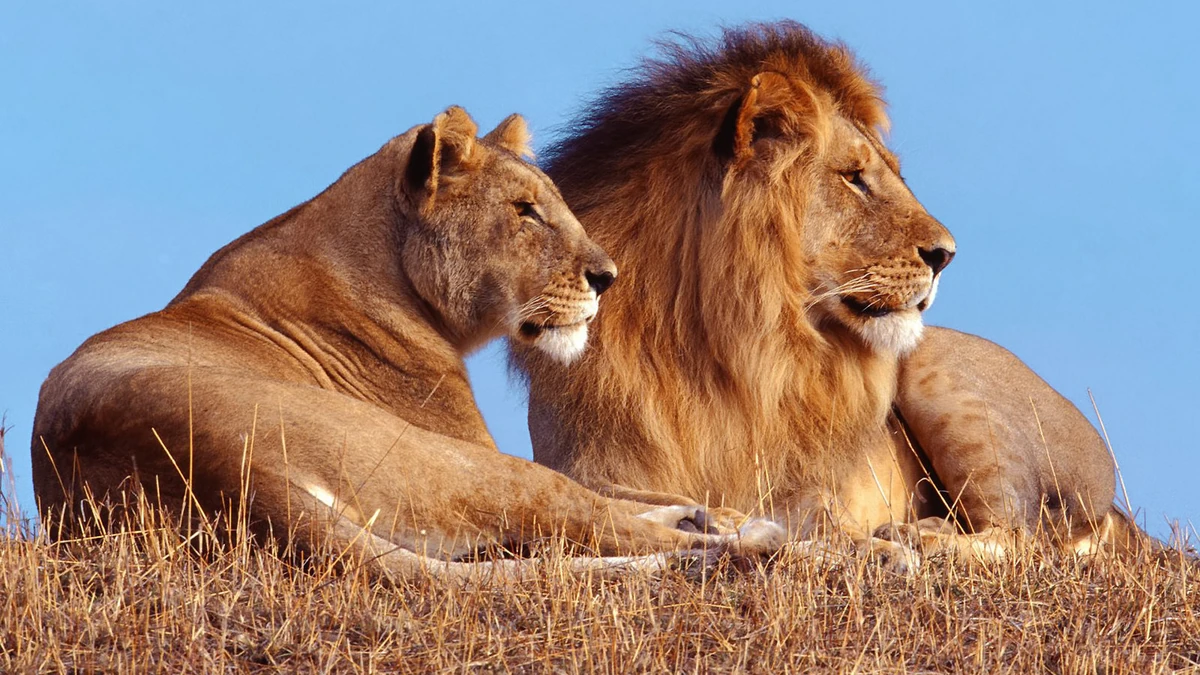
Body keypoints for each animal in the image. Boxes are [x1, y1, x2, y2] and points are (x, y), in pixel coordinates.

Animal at [31, 106, 785, 581]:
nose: (609, 276)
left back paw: (705, 523)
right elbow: (601, 495)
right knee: (588, 518)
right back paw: (749, 539)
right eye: (524, 211)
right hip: (454, 464)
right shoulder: (468, 442)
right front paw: (721, 518)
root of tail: (223, 470)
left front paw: (700, 507)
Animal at [513, 22, 1148, 566]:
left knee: (1021, 536)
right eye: (854, 176)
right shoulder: (581, 462)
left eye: (891, 171)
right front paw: (710, 521)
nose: (946, 254)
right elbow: (616, 500)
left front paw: (853, 546)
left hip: (942, 374)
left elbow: (815, 519)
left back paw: (916, 537)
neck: (719, 344)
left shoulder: (807, 484)